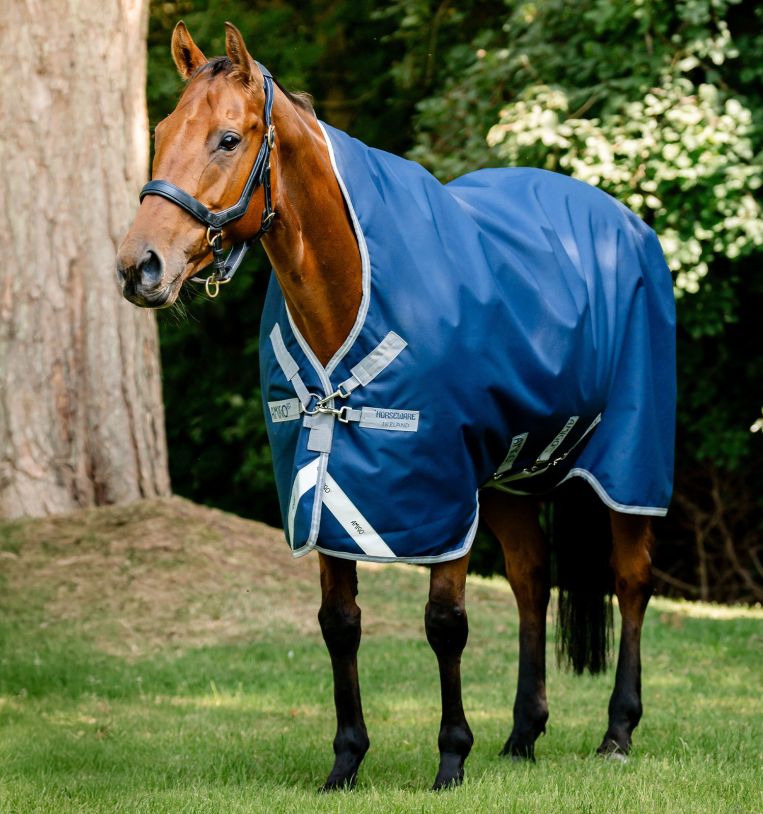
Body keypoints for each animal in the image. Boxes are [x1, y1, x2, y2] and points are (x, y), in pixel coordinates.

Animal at [116, 22, 675, 791]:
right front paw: (346, 760)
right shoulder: (320, 486)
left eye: (228, 139)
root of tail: (626, 225)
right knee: (532, 580)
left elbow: (445, 623)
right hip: (506, 478)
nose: (139, 267)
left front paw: (451, 758)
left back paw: (617, 731)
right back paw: (521, 735)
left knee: (631, 581)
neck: (352, 287)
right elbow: (339, 622)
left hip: (627, 462)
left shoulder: (441, 491)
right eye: (162, 130)